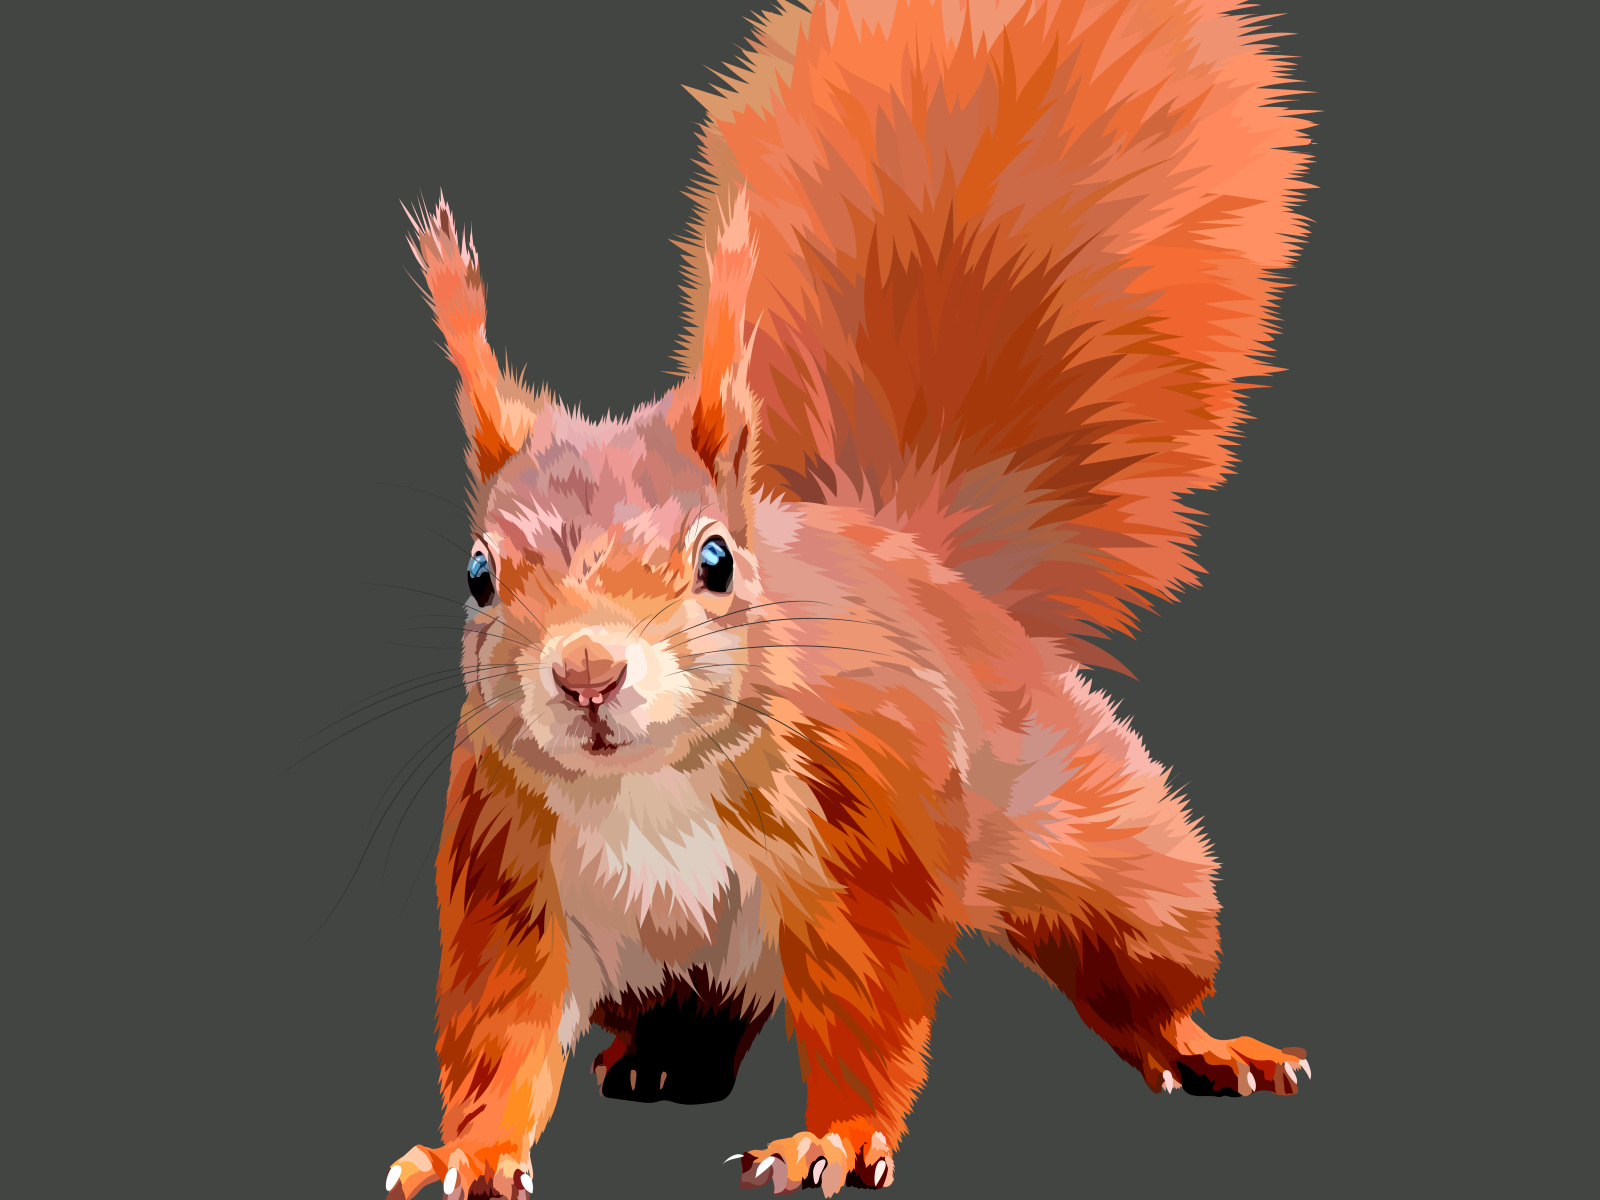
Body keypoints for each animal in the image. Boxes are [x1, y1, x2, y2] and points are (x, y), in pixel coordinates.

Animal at [384, 1, 1311, 1196]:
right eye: (477, 575)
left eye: (717, 560)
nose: (587, 672)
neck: (647, 785)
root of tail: (920, 557)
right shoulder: (507, 863)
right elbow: (501, 1026)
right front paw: (469, 1151)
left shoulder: (870, 821)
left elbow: (868, 1002)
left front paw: (833, 1136)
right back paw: (660, 1058)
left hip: (1107, 839)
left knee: (1142, 956)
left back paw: (1205, 1044)